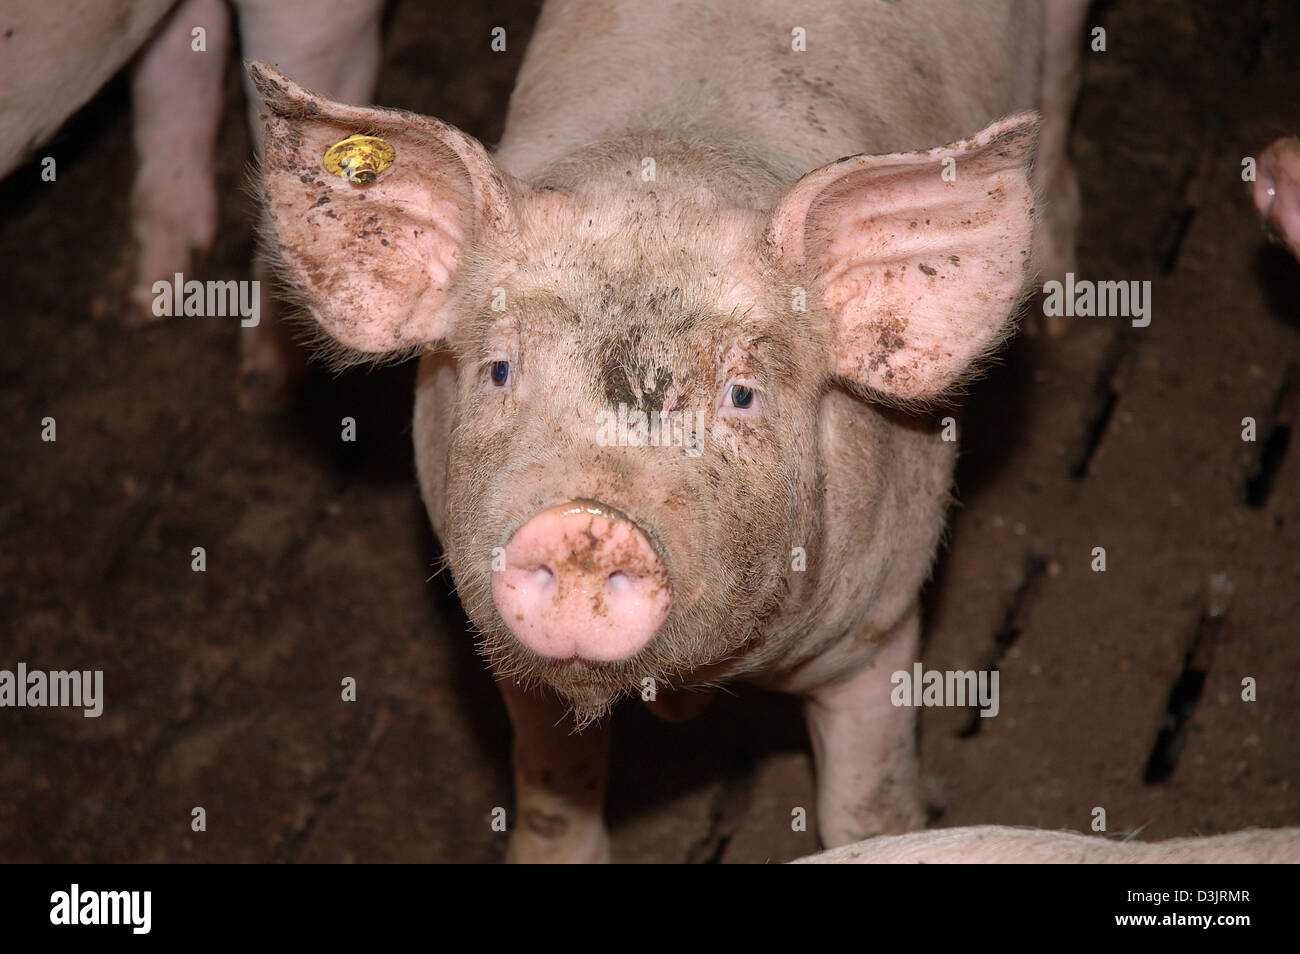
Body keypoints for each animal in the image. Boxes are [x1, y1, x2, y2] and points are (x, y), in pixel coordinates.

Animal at [251, 0, 1088, 863]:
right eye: (499, 371)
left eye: (743, 394)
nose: (584, 528)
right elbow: (554, 791)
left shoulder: (878, 625)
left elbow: (869, 810)